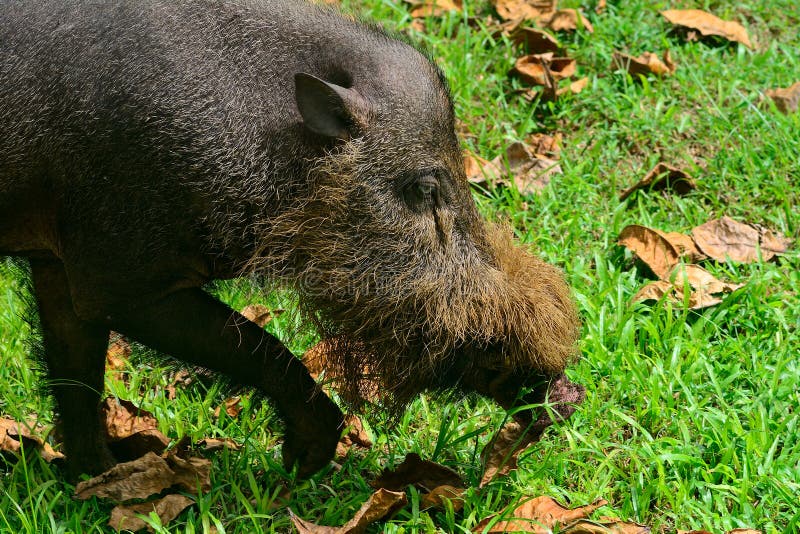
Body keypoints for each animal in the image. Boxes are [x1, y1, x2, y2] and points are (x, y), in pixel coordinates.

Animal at [0, 0, 581, 480]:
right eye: (424, 188)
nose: (563, 393)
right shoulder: (117, 277)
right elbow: (263, 348)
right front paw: (305, 461)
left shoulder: (61, 269)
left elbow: (76, 377)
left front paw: (96, 479)